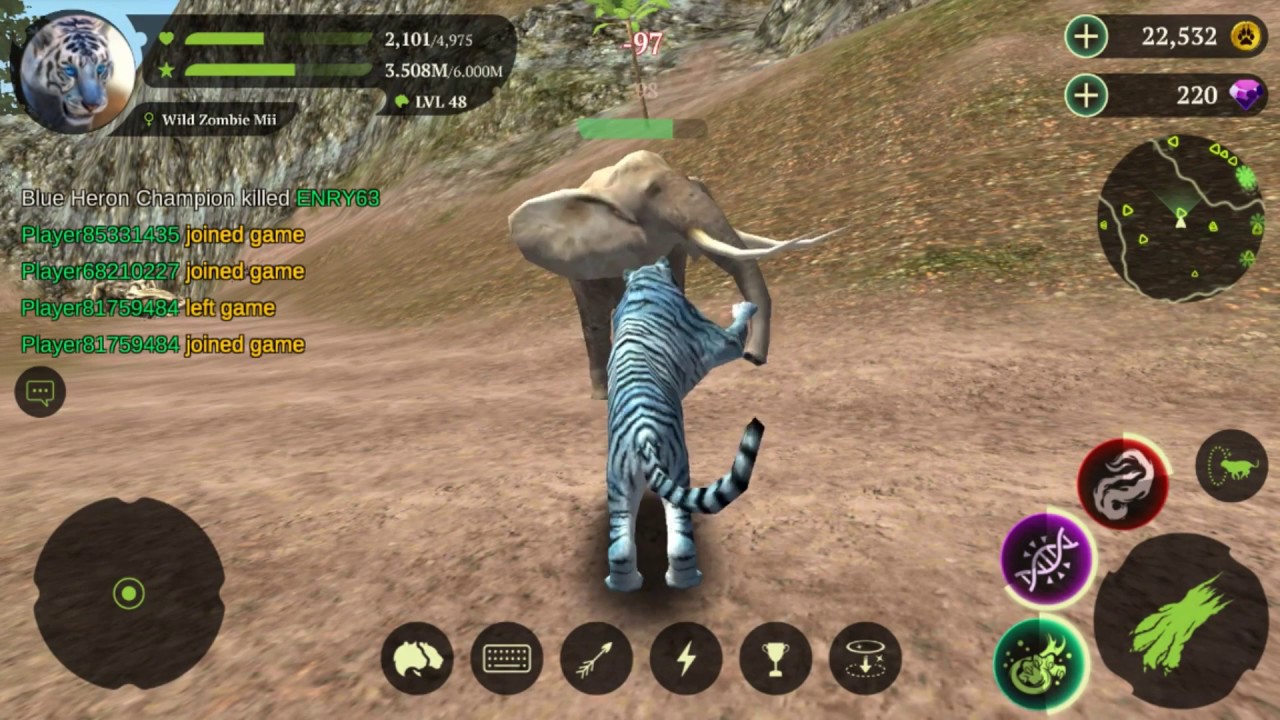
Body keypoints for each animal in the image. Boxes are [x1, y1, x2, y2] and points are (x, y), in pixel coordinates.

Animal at [604, 256, 766, 592]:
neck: (643, 281)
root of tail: (643, 435)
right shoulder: (720, 340)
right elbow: (737, 327)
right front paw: (745, 306)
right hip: (677, 468)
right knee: (681, 540)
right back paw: (687, 581)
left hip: (618, 485)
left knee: (620, 548)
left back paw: (624, 585)